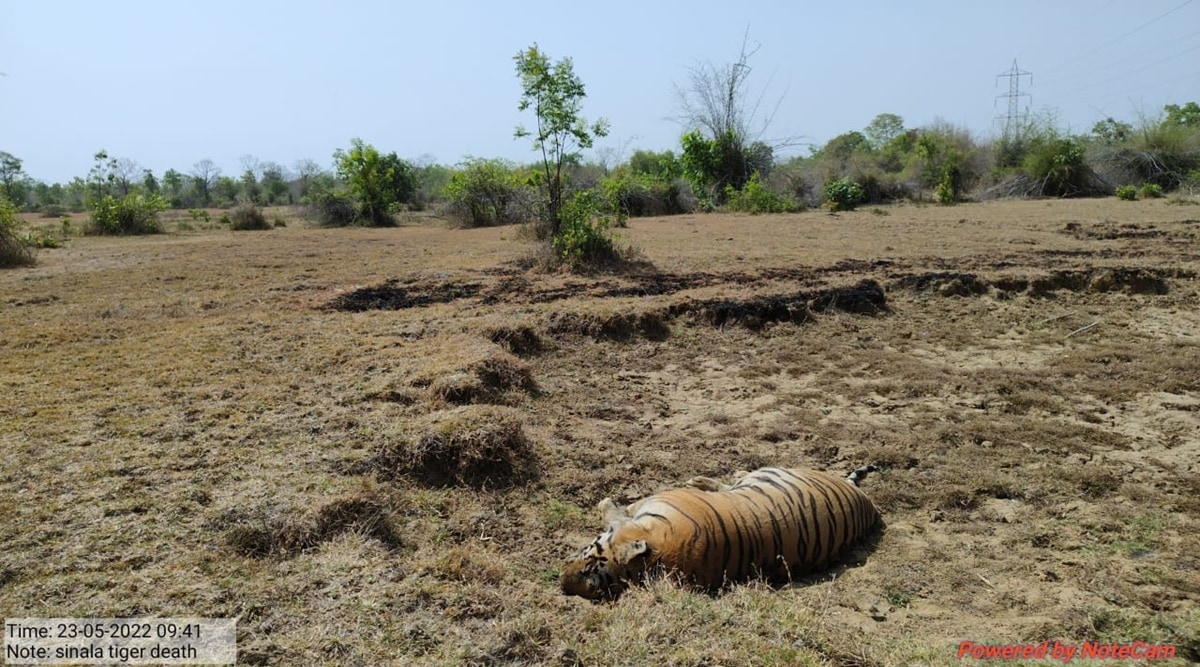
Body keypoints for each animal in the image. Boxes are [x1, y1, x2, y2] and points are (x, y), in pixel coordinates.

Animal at [560, 466, 881, 601]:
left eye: (591, 570)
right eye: (598, 587)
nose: (563, 585)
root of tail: (866, 503)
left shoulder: (648, 504)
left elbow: (615, 512)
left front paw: (606, 503)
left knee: (738, 479)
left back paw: (704, 479)